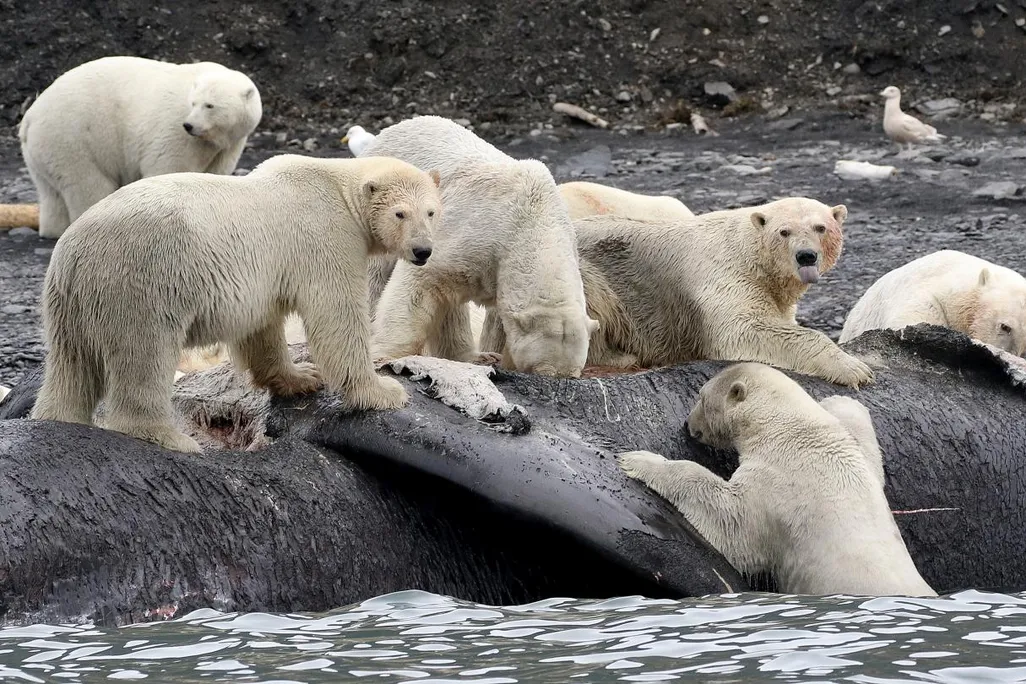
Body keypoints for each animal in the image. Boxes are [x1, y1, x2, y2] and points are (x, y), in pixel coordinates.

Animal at [19, 56, 262, 239]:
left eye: (210, 105)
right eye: (194, 103)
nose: (189, 125)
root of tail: (29, 117)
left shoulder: (227, 144)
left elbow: (214, 173)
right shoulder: (174, 132)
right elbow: (169, 168)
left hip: (43, 149)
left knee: (51, 193)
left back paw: (53, 229)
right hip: (73, 137)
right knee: (89, 185)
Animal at [30, 154, 441, 453]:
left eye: (432, 211)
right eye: (400, 213)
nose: (423, 250)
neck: (337, 187)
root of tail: (74, 251)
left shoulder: (265, 278)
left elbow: (262, 327)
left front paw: (300, 377)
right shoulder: (325, 238)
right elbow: (337, 317)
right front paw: (382, 392)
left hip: (70, 303)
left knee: (71, 367)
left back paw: (59, 417)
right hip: (142, 282)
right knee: (144, 355)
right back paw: (171, 437)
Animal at [359, 115, 598, 377]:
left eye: (574, 374)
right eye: (542, 371)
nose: (560, 378)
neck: (534, 218)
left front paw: (494, 354)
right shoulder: (474, 229)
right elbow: (420, 282)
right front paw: (383, 355)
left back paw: (474, 356)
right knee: (374, 274)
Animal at [480, 197, 873, 387]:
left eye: (821, 227)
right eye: (784, 231)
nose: (806, 256)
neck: (747, 250)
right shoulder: (723, 278)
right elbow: (743, 329)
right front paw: (855, 368)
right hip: (576, 270)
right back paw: (619, 357)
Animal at [617, 362, 936, 597]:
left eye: (701, 396)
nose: (687, 424)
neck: (787, 429)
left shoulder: (777, 482)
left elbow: (732, 524)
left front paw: (637, 460)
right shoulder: (854, 457)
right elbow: (861, 439)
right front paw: (838, 398)